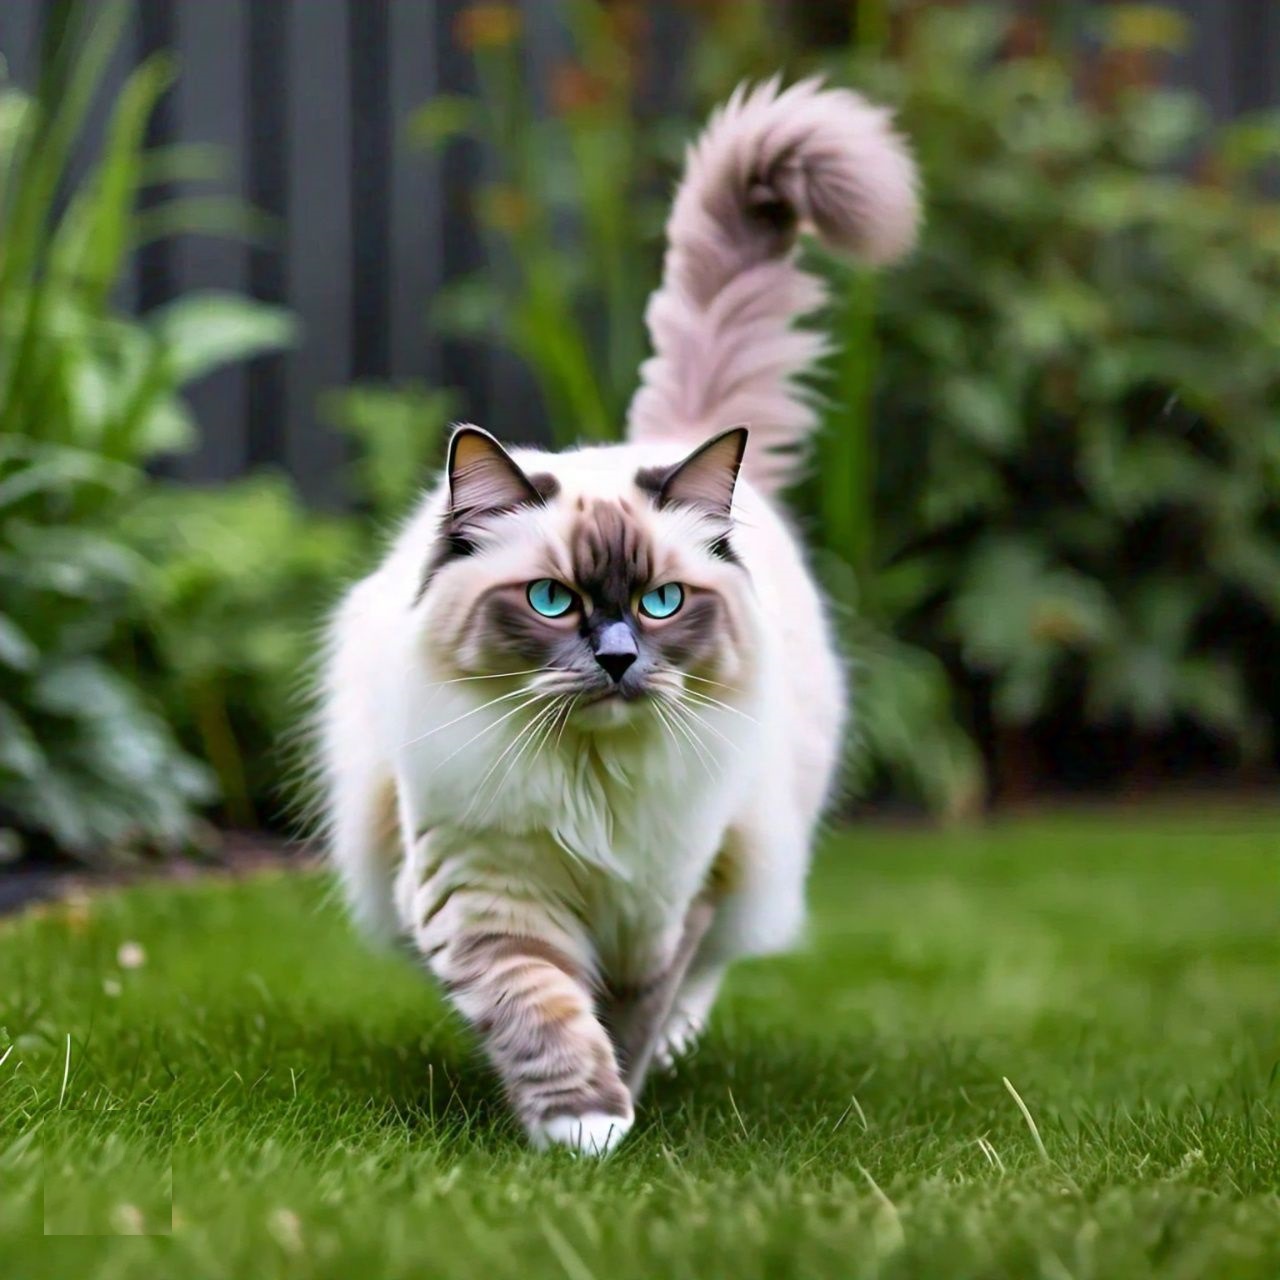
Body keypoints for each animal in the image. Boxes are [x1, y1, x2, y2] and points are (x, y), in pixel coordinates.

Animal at [320, 74, 921, 1157]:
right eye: (553, 600)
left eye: (660, 601)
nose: (613, 659)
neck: (590, 782)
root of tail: (661, 437)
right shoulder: (487, 893)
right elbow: (541, 1007)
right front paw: (582, 1127)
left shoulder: (669, 903)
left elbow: (635, 1008)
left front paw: (624, 1106)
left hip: (756, 853)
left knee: (714, 972)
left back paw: (678, 1053)